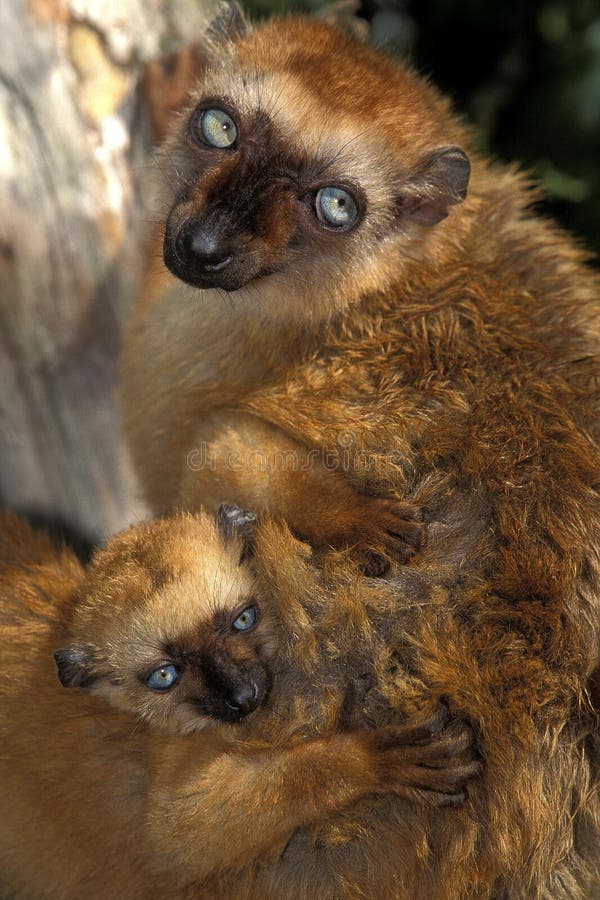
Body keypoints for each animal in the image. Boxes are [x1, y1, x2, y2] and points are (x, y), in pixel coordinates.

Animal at [0, 507, 480, 899]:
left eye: (243, 619)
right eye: (164, 676)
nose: (244, 698)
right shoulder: (173, 746)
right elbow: (178, 833)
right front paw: (367, 759)